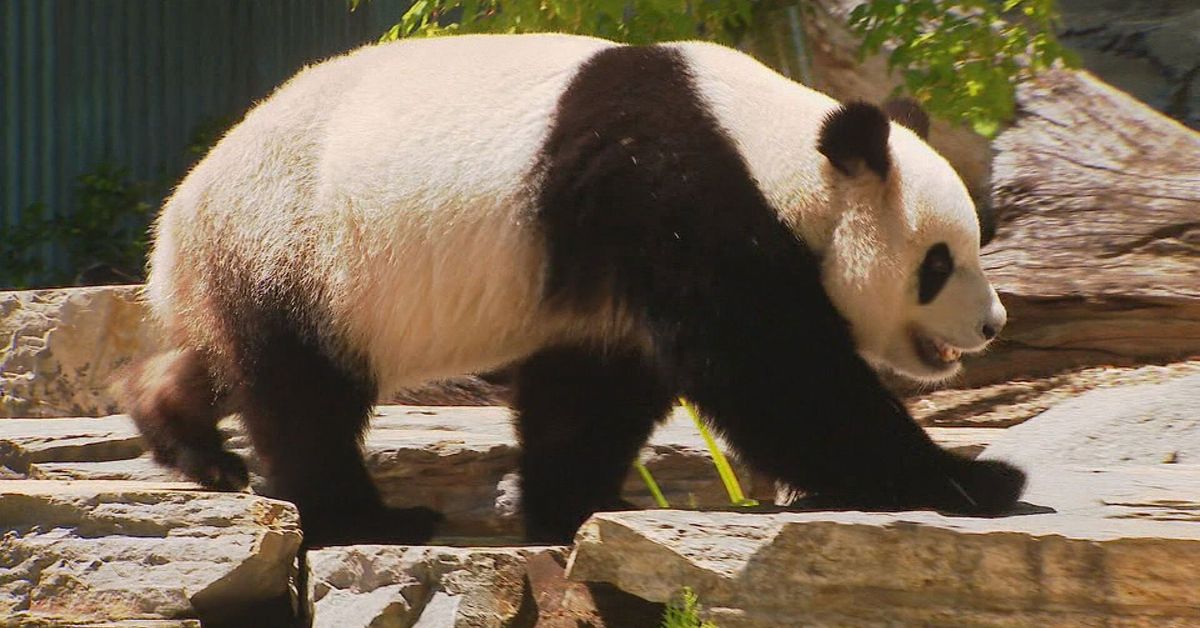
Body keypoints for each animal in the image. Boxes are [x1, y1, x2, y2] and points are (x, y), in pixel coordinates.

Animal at [123, 33, 1024, 546]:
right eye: (938, 262)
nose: (991, 325)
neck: (778, 152)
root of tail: (173, 227)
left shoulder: (614, 261)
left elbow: (595, 387)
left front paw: (568, 507)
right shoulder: (675, 191)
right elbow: (777, 376)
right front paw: (976, 480)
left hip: (261, 261)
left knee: (226, 361)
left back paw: (185, 436)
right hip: (301, 246)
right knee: (306, 394)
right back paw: (364, 517)